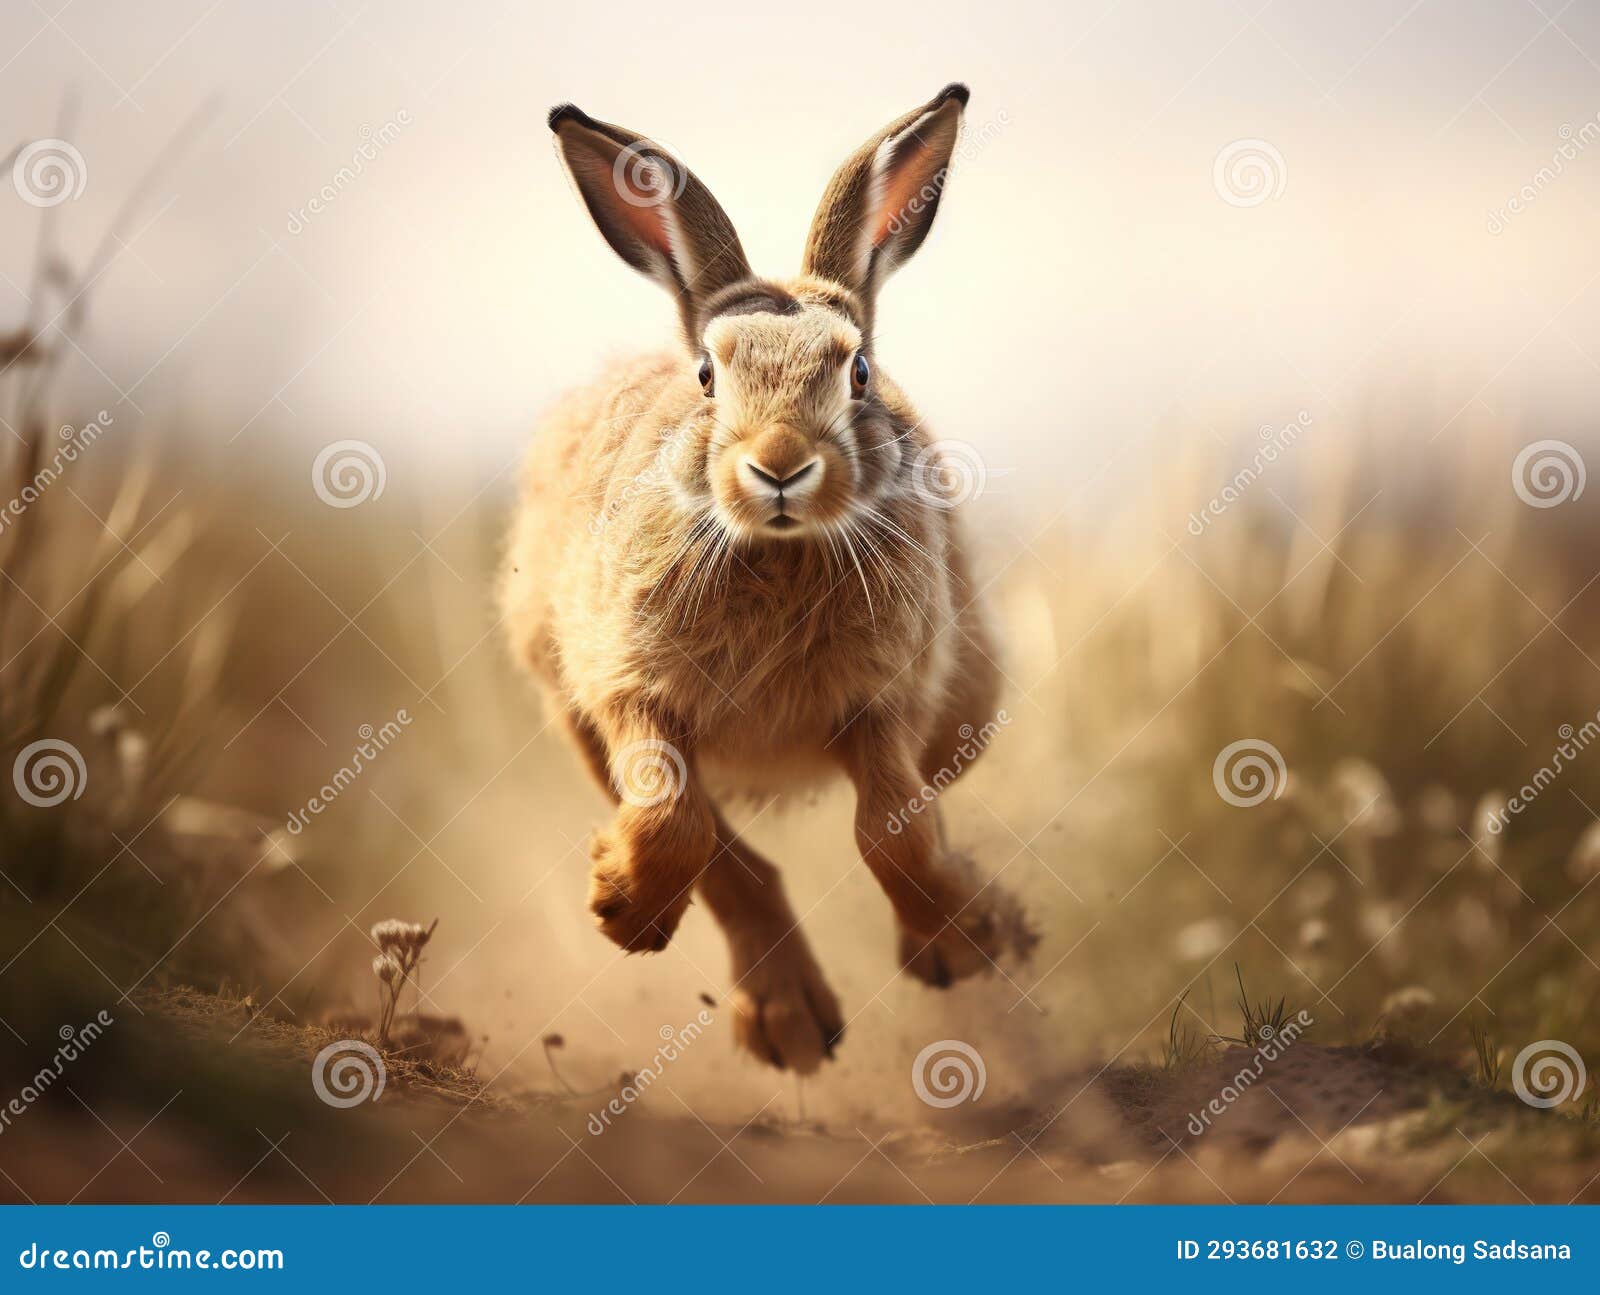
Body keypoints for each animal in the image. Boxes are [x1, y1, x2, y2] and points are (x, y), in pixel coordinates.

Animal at [501, 84, 1034, 1073]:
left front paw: (967, 937)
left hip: (966, 700)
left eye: (858, 371)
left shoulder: (886, 701)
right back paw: (787, 1019)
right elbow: (681, 826)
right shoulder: (627, 687)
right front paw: (623, 910)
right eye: (709, 376)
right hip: (568, 707)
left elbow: (893, 830)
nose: (780, 466)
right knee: (724, 849)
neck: (775, 551)